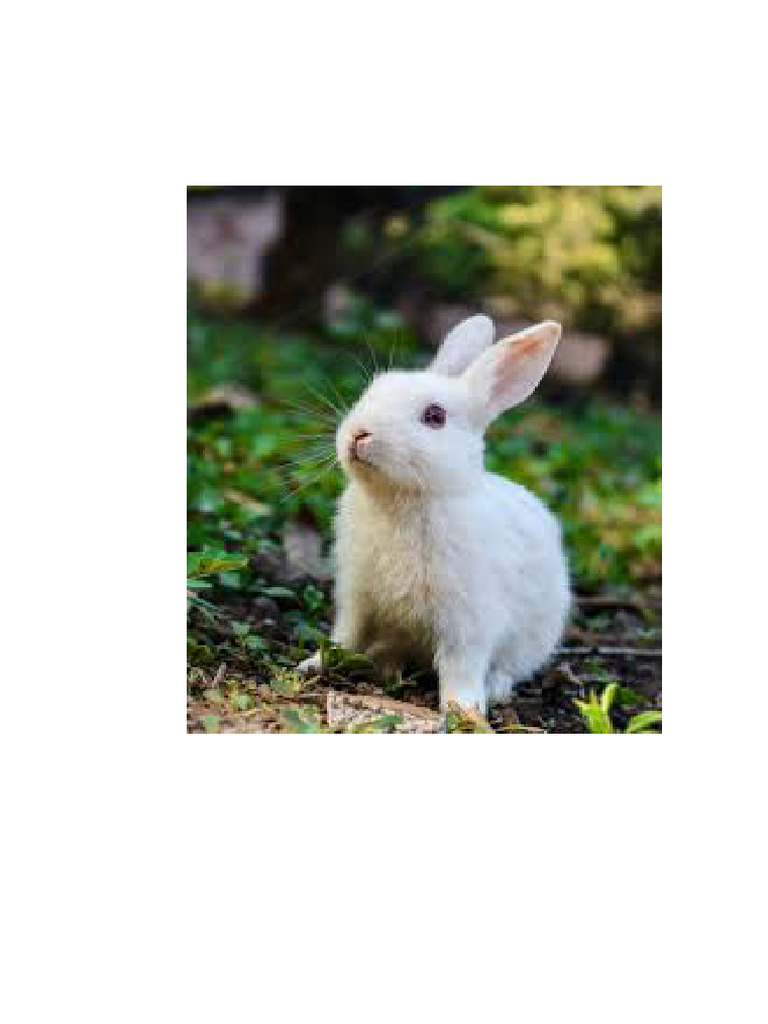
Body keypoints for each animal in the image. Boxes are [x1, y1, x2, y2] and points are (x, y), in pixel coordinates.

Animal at [297, 314, 571, 715]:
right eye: (372, 389)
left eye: (434, 416)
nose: (358, 434)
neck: (403, 498)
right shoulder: (357, 596)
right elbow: (345, 636)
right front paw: (313, 664)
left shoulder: (468, 620)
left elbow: (461, 666)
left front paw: (463, 709)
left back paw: (494, 689)